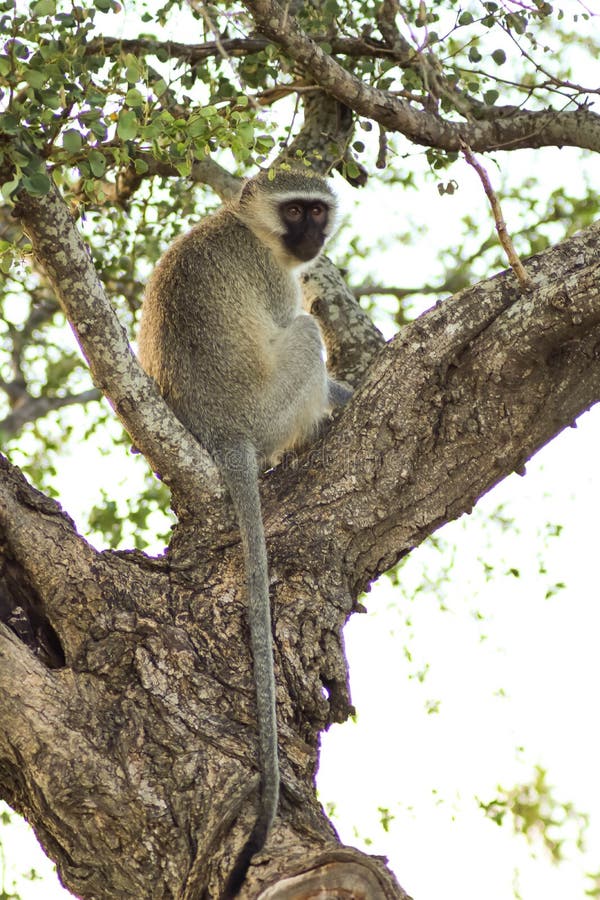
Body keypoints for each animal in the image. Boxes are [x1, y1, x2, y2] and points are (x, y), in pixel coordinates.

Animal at [137, 168, 352, 897]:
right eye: (298, 211)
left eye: (319, 209)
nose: (315, 236)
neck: (244, 225)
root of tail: (225, 435)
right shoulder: (275, 278)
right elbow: (295, 317)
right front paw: (341, 393)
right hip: (269, 407)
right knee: (306, 334)